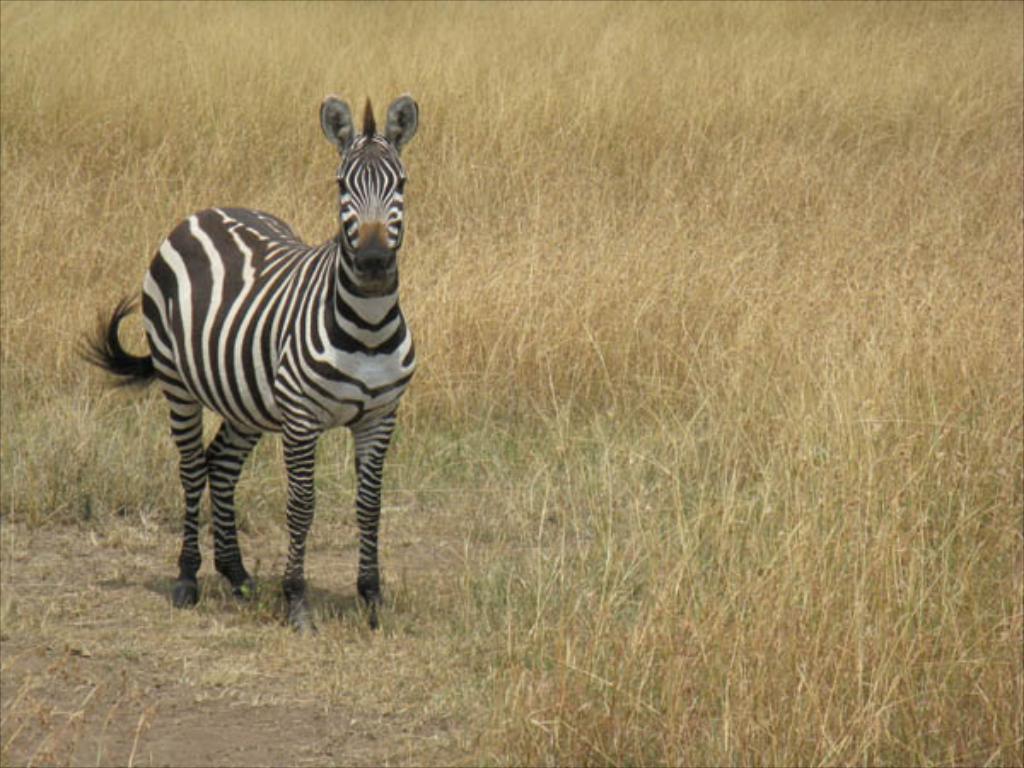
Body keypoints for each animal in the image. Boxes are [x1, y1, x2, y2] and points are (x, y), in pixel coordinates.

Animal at [83, 95, 419, 633]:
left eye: (401, 183)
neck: (367, 326)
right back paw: (188, 578)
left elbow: (370, 506)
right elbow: (302, 505)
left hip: (246, 399)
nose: (371, 265)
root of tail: (206, 211)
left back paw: (237, 574)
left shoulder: (380, 417)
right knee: (192, 469)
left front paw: (371, 599)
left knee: (221, 465)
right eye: (341, 184)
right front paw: (297, 601)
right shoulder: (301, 418)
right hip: (177, 383)